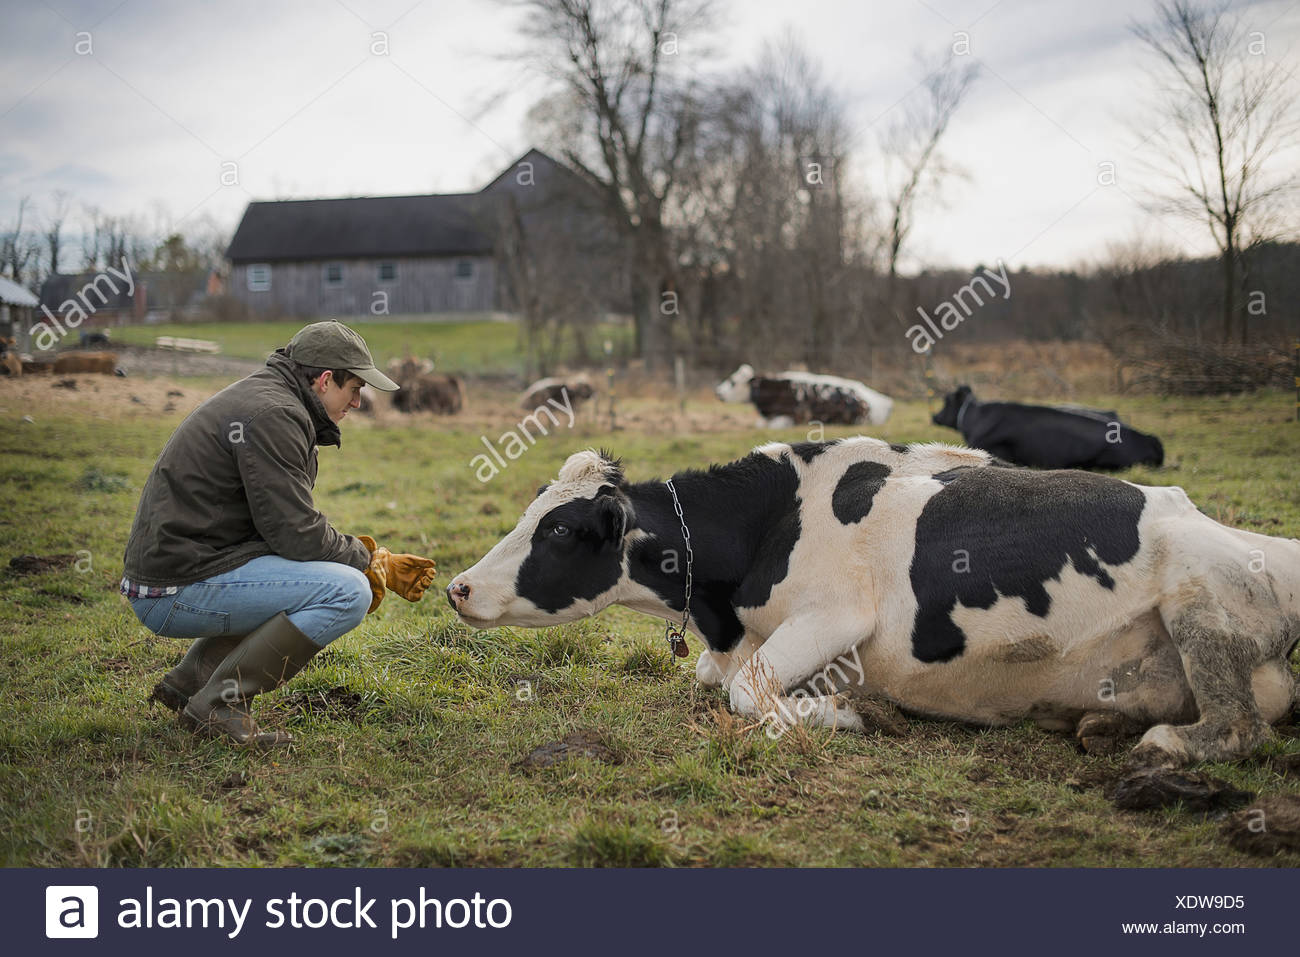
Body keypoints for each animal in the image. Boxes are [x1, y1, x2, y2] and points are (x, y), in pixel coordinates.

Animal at [447, 443, 1300, 769]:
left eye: (559, 529)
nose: (457, 586)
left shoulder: (837, 614)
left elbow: (744, 691)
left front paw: (851, 714)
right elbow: (714, 679)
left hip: (1201, 597)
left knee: (1240, 727)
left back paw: (1162, 744)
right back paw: (1096, 720)